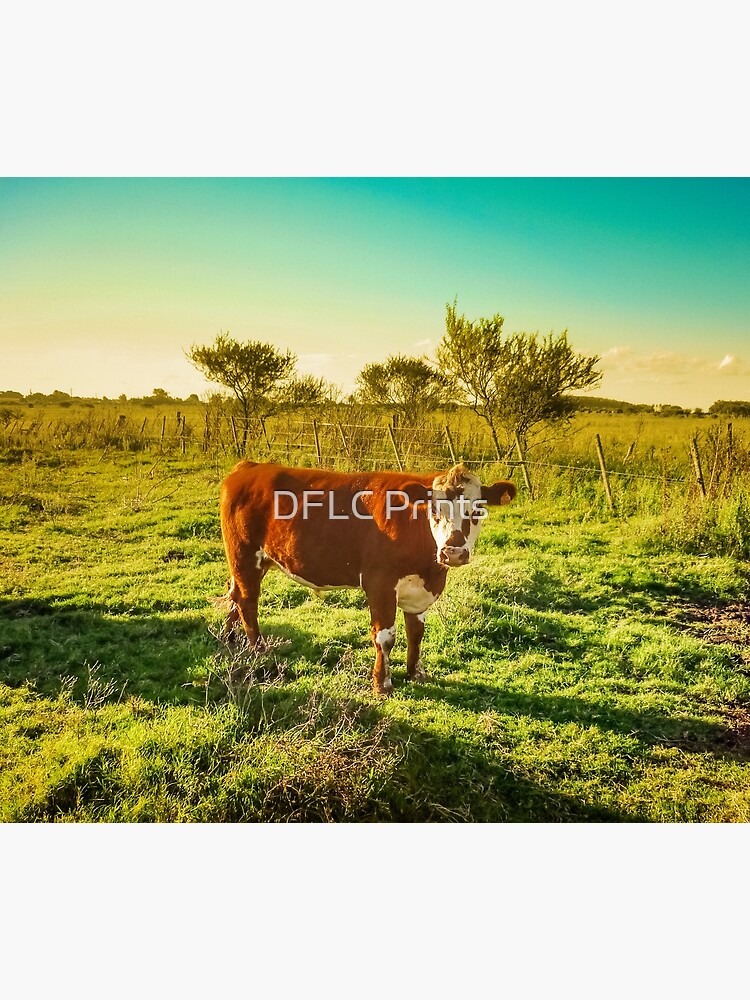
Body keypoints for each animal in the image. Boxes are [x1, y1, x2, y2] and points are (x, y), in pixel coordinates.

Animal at [218, 461, 516, 695]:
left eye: (477, 510)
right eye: (434, 510)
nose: (452, 552)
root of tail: (250, 467)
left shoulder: (418, 591)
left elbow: (416, 633)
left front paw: (416, 673)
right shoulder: (380, 583)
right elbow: (385, 637)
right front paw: (382, 684)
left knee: (234, 594)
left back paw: (229, 638)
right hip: (245, 556)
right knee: (247, 601)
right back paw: (258, 649)